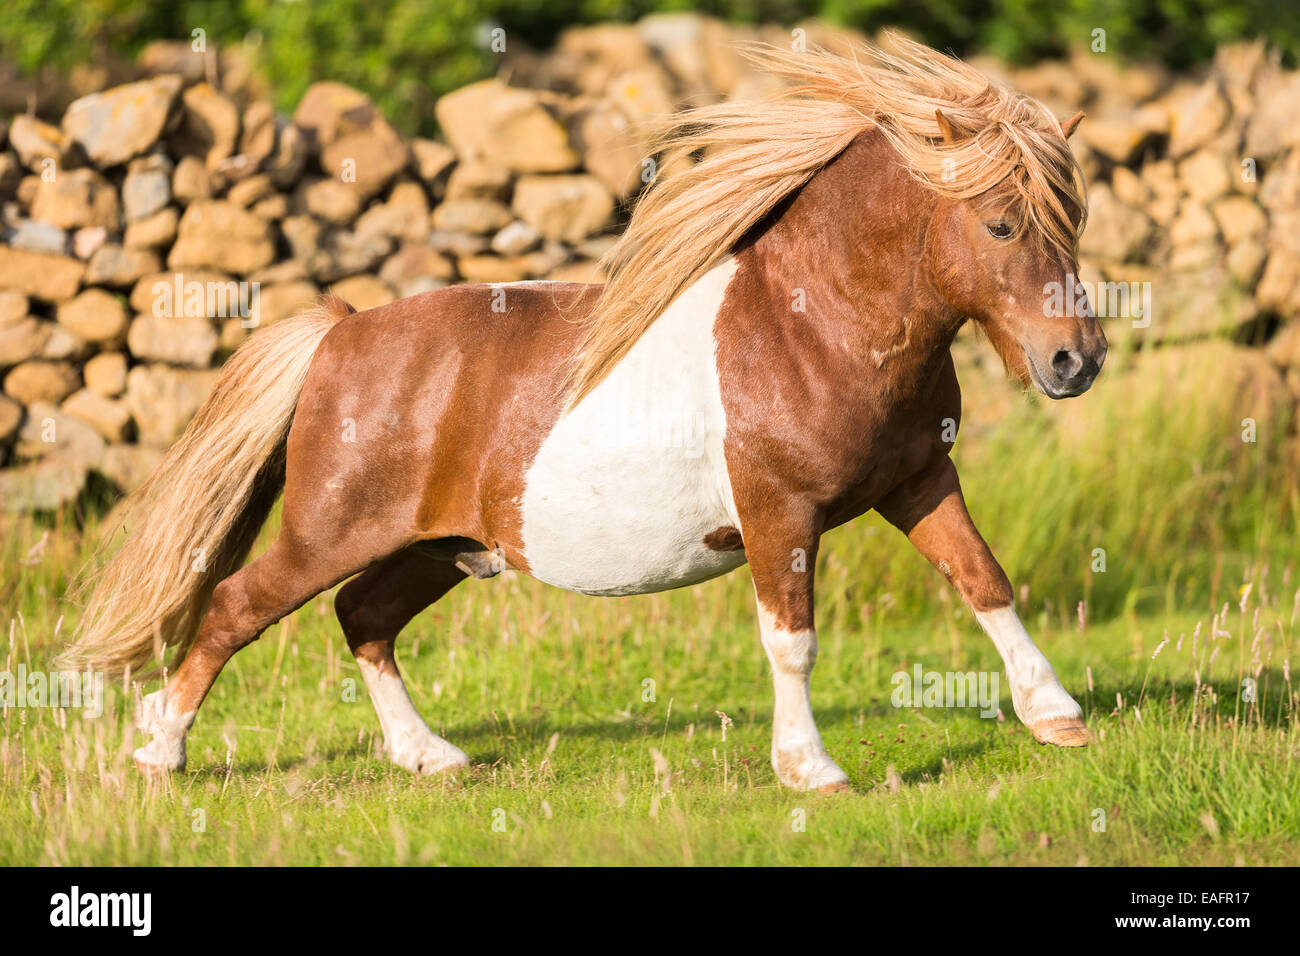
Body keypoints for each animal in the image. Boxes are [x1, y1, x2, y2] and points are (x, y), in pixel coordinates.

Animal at [60, 36, 1106, 791]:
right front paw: (811, 770)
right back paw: (160, 751)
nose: (1076, 361)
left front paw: (1058, 718)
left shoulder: (920, 479)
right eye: (1001, 223)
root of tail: (340, 332)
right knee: (239, 606)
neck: (813, 326)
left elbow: (985, 580)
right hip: (330, 531)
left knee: (363, 617)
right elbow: (792, 639)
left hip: (439, 546)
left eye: (1076, 218)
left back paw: (431, 758)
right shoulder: (781, 513)